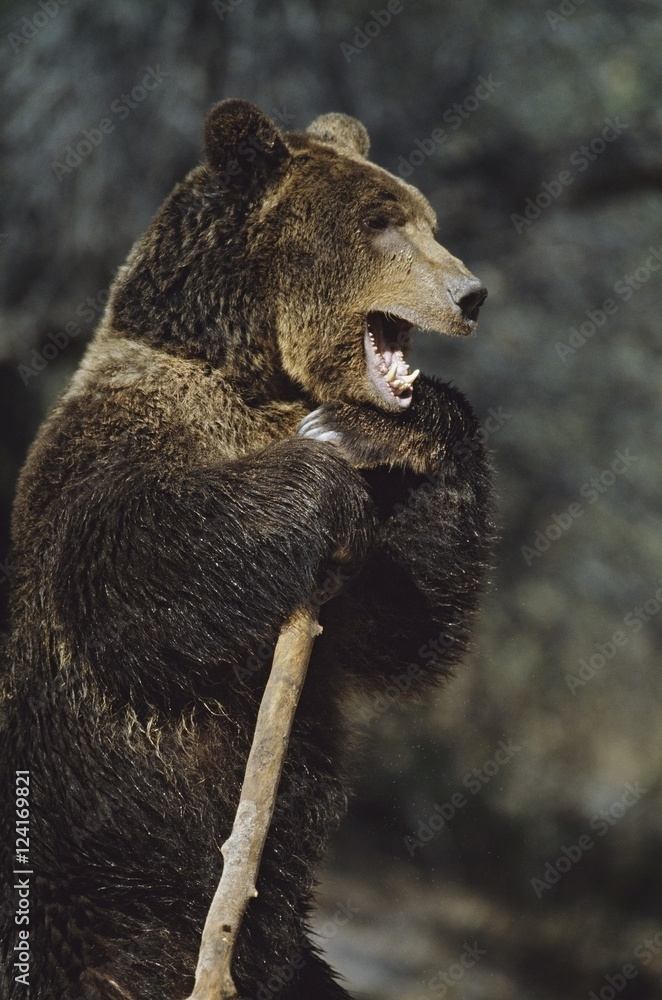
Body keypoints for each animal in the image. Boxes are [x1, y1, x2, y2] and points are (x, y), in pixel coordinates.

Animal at [0, 99, 494, 1000]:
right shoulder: (117, 445)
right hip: (100, 887)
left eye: (428, 220)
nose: (470, 294)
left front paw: (393, 427)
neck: (257, 375)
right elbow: (139, 565)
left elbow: (401, 623)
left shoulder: (359, 580)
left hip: (283, 947)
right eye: (382, 224)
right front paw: (321, 471)